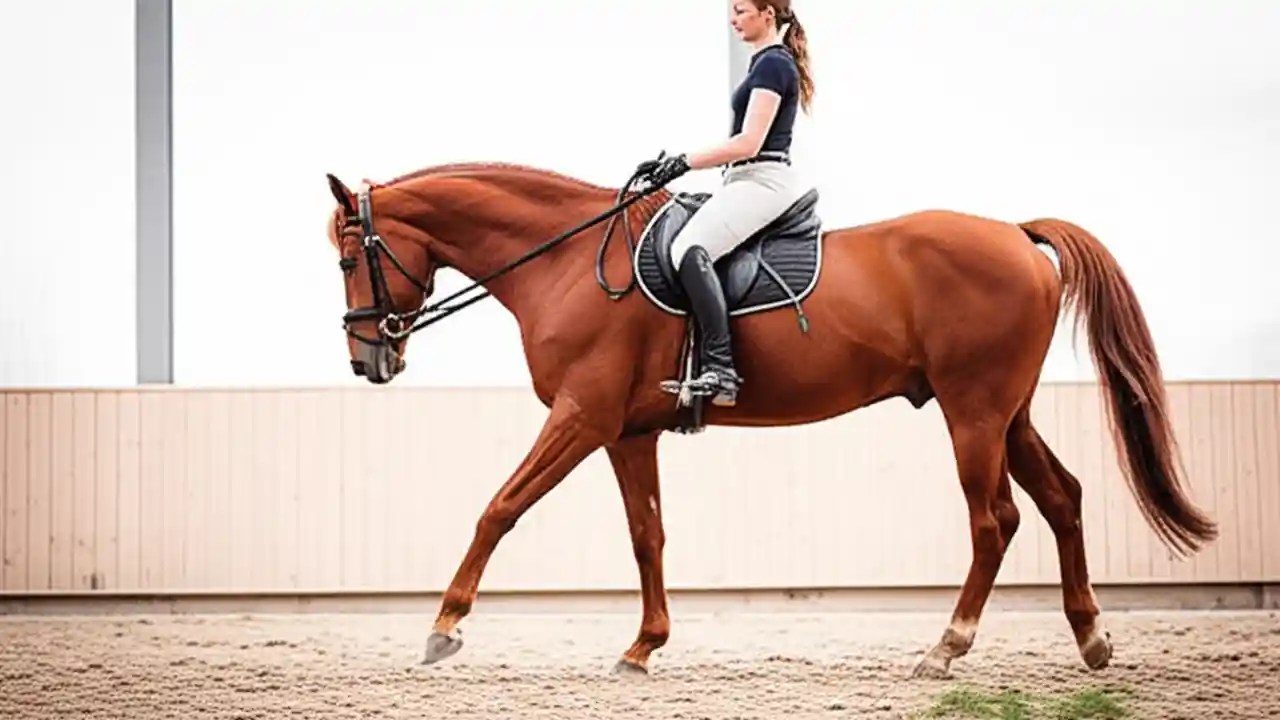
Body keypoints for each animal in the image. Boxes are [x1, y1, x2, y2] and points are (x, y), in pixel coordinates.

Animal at [322, 159, 1217, 678]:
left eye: (347, 255)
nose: (369, 360)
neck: (569, 261)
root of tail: (1015, 233)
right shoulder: (627, 433)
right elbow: (647, 535)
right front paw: (644, 647)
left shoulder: (581, 417)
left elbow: (499, 507)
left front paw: (444, 626)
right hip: (1008, 415)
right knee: (1062, 498)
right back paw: (1091, 641)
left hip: (973, 413)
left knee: (995, 519)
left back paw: (946, 648)